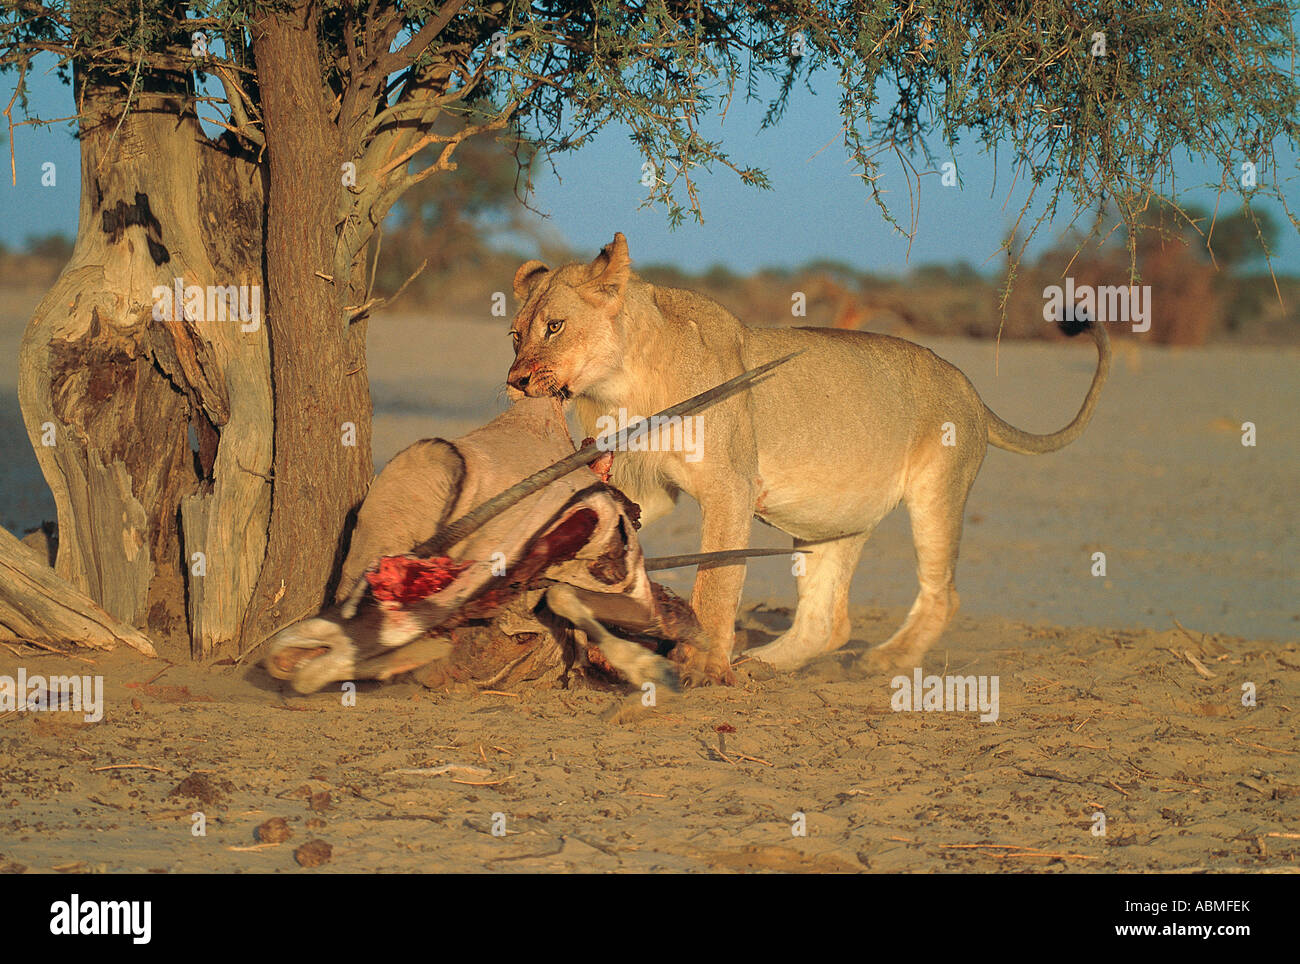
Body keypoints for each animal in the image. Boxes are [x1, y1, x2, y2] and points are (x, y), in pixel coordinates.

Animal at [505, 233, 1110, 681]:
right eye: (514, 335)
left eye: (554, 326)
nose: (514, 382)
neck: (622, 384)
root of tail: (972, 390)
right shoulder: (645, 485)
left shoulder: (731, 484)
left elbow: (717, 579)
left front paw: (704, 665)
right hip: (831, 517)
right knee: (827, 621)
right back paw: (766, 665)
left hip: (937, 491)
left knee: (942, 594)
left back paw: (882, 659)